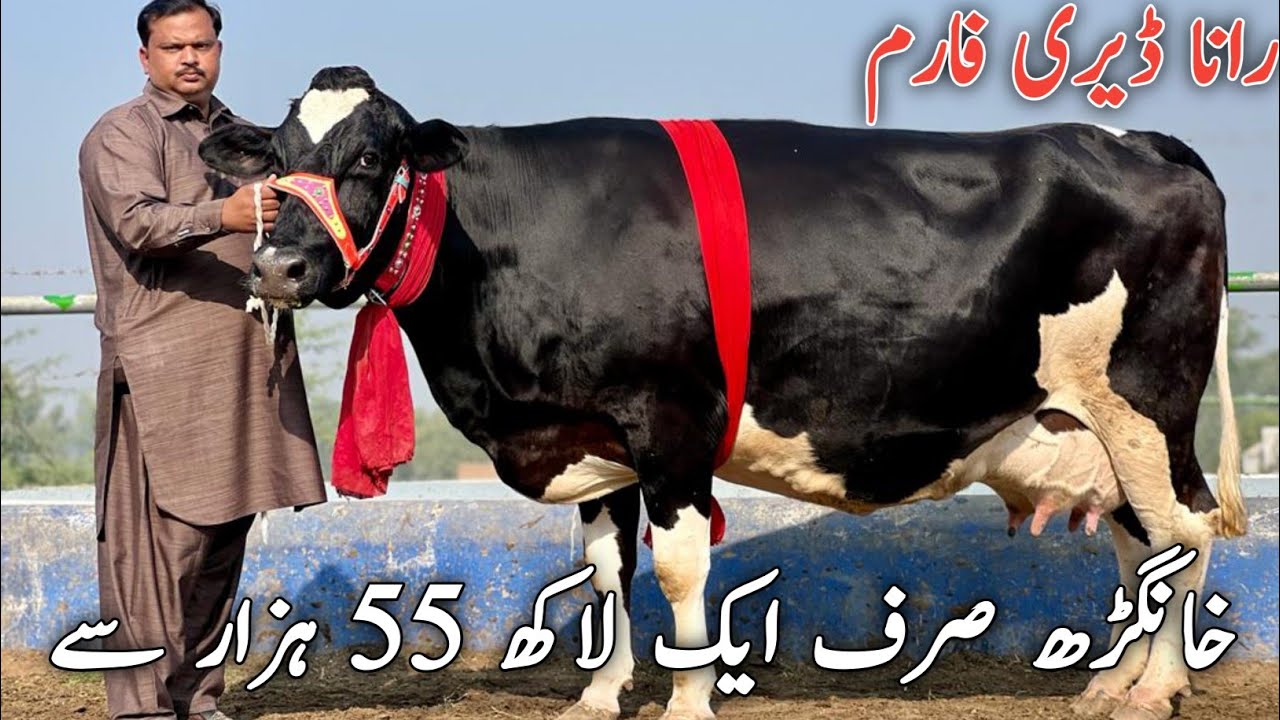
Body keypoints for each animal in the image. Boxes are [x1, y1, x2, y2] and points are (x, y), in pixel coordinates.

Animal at [200, 66, 1245, 720]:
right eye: (280, 159)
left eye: (369, 160)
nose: (278, 265)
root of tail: (1140, 138)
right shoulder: (596, 434)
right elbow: (607, 571)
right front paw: (596, 695)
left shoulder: (671, 421)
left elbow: (676, 570)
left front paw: (689, 696)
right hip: (1094, 425)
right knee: (1137, 544)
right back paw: (1110, 684)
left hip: (1148, 404)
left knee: (1183, 533)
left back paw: (1155, 689)